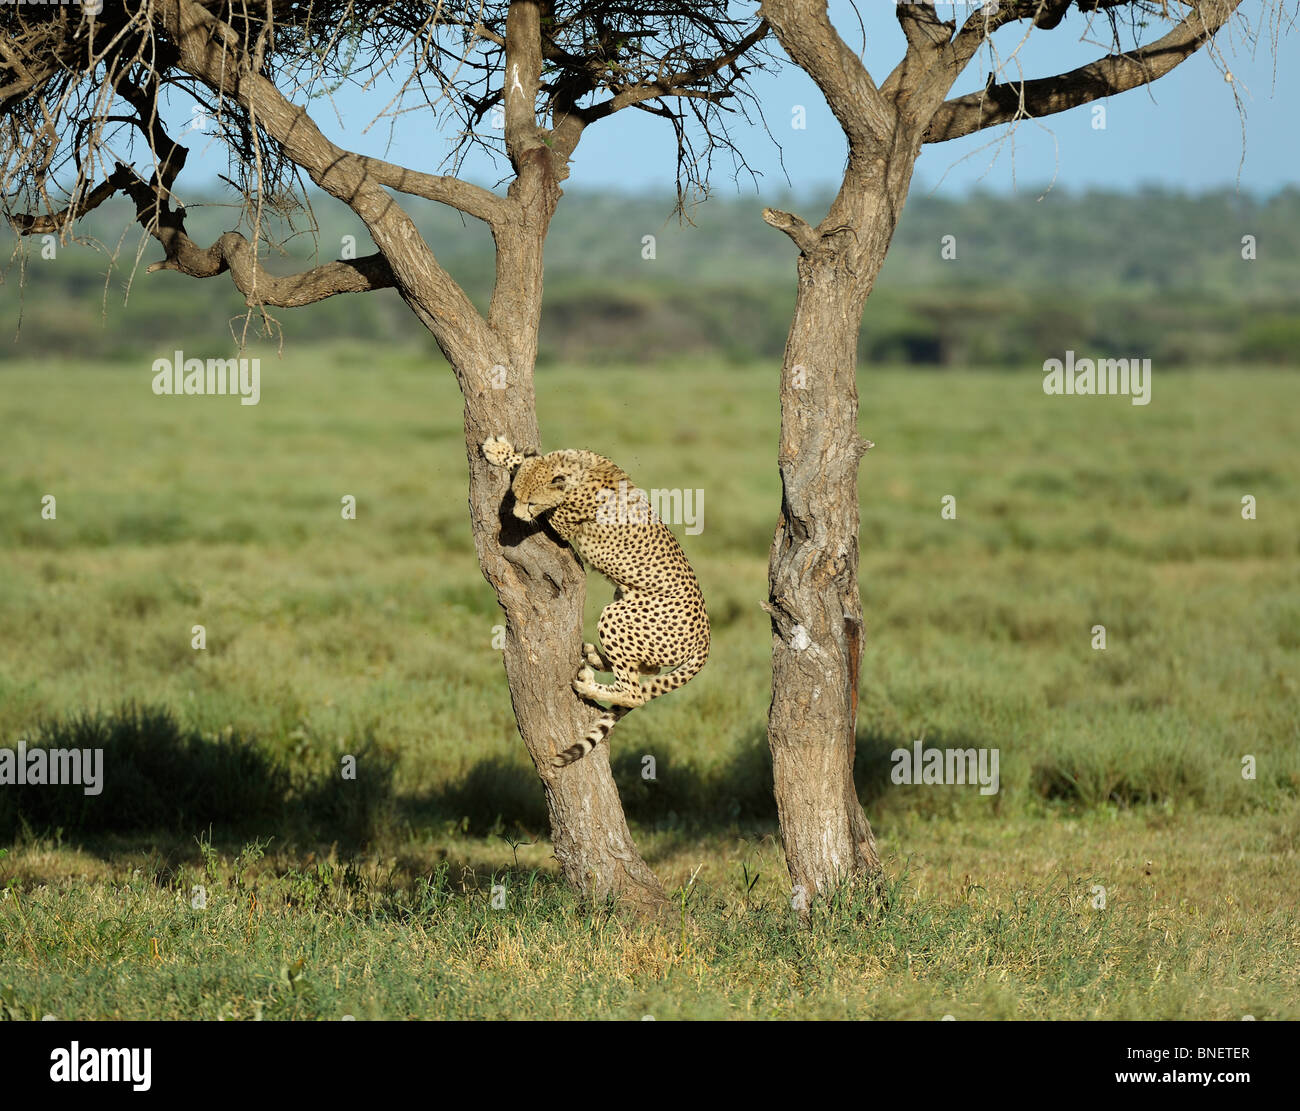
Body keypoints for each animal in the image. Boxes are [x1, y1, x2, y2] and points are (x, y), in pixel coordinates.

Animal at [482, 434, 709, 767]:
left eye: (531, 502)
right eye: (514, 497)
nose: (517, 516)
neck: (577, 469)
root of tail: (706, 639)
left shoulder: (561, 521)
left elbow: (525, 468)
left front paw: (500, 453)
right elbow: (529, 459)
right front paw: (505, 451)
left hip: (620, 614)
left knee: (634, 691)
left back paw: (588, 684)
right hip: (625, 603)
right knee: (648, 669)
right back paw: (592, 656)